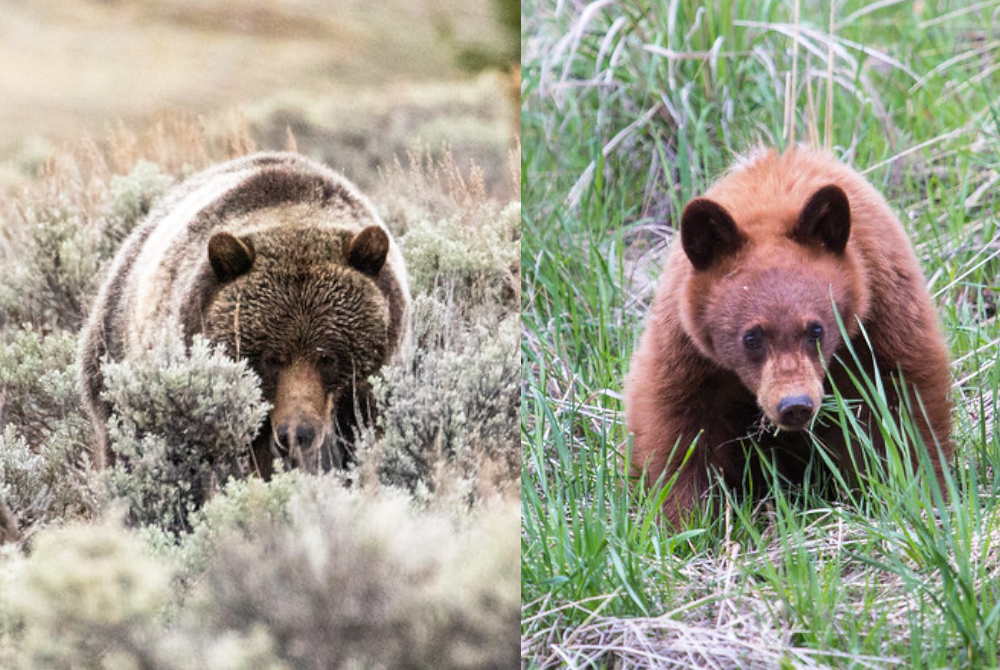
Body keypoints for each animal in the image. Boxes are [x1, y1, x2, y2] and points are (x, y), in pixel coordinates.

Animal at [624, 147, 953, 525]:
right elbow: (678, 429)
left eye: (816, 329)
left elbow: (903, 406)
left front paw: (919, 495)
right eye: (751, 338)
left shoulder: (881, 315)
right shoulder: (688, 351)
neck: (771, 199)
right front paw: (690, 521)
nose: (795, 405)